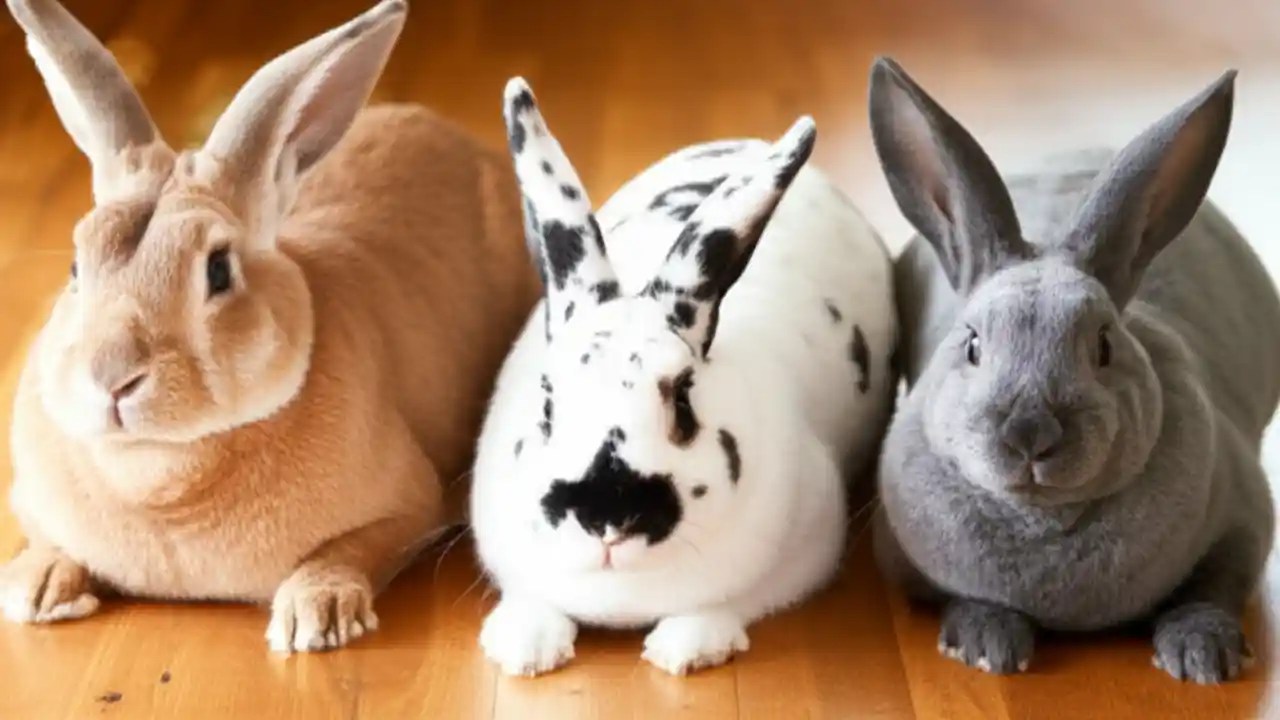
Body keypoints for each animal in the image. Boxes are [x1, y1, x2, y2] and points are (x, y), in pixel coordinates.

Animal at [0, 0, 538, 652]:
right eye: (77, 265)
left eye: (218, 269)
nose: (112, 378)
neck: (157, 470)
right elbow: (46, 535)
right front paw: (35, 587)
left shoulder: (410, 507)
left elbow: (357, 546)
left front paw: (318, 613)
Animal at [470, 78, 898, 677]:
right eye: (548, 404)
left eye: (684, 402)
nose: (608, 518)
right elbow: (530, 596)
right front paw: (523, 648)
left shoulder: (803, 551)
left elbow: (730, 602)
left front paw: (685, 649)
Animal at [869, 57, 1280, 684]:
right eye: (972, 345)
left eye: (1104, 346)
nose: (1029, 432)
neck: (1041, 520)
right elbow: (961, 596)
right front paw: (987, 644)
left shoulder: (1246, 517)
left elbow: (1215, 587)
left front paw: (1202, 656)